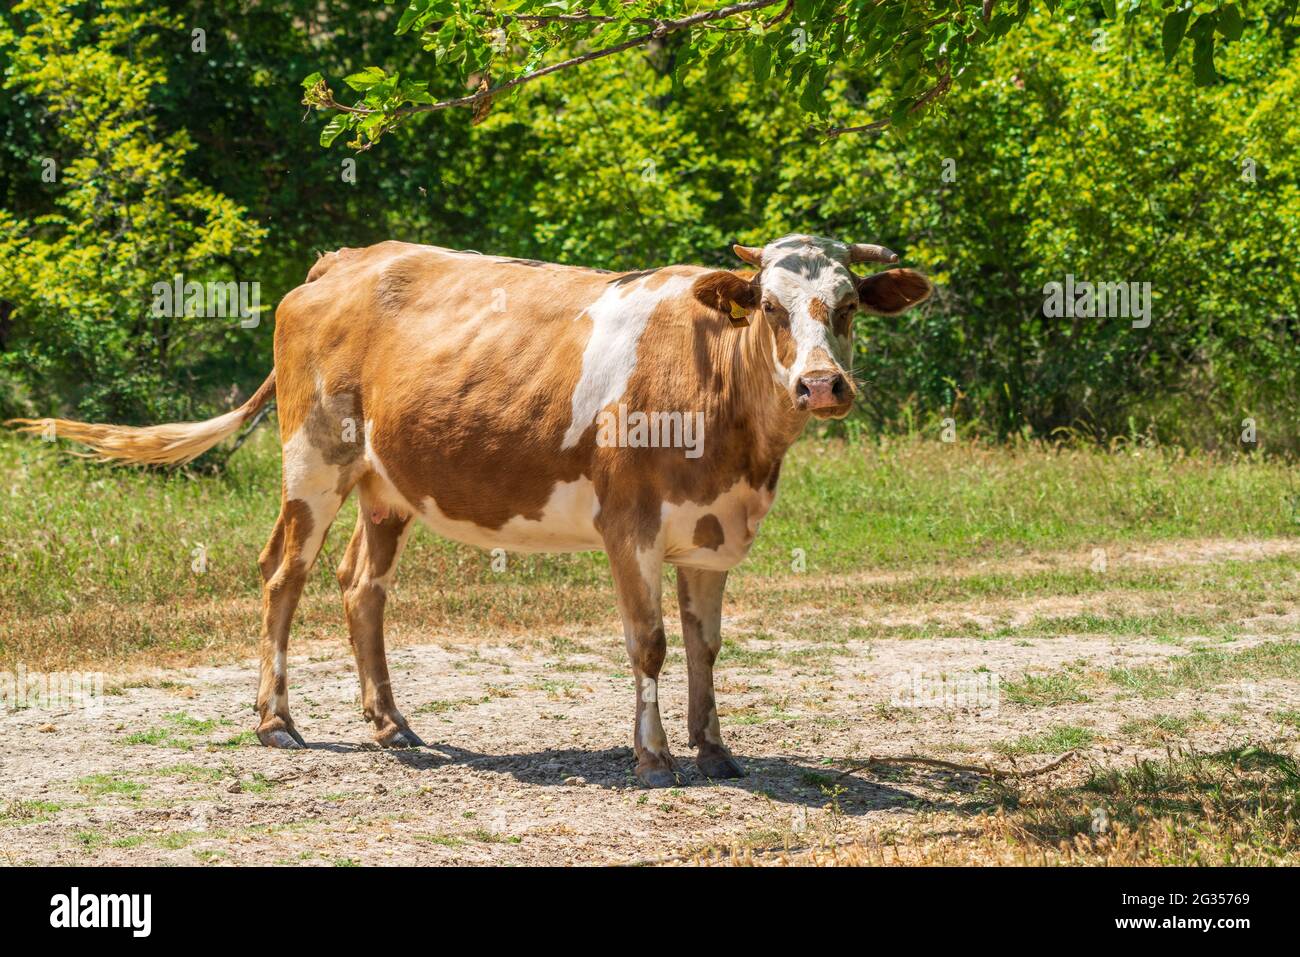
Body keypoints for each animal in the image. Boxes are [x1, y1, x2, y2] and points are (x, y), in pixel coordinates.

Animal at [11, 234, 932, 787]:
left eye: (849, 306)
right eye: (772, 307)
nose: (821, 385)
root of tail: (346, 260)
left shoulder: (711, 533)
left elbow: (706, 644)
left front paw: (715, 748)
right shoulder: (627, 523)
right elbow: (651, 643)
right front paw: (653, 756)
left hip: (387, 484)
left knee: (359, 584)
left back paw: (391, 723)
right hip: (315, 455)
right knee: (284, 573)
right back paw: (277, 722)